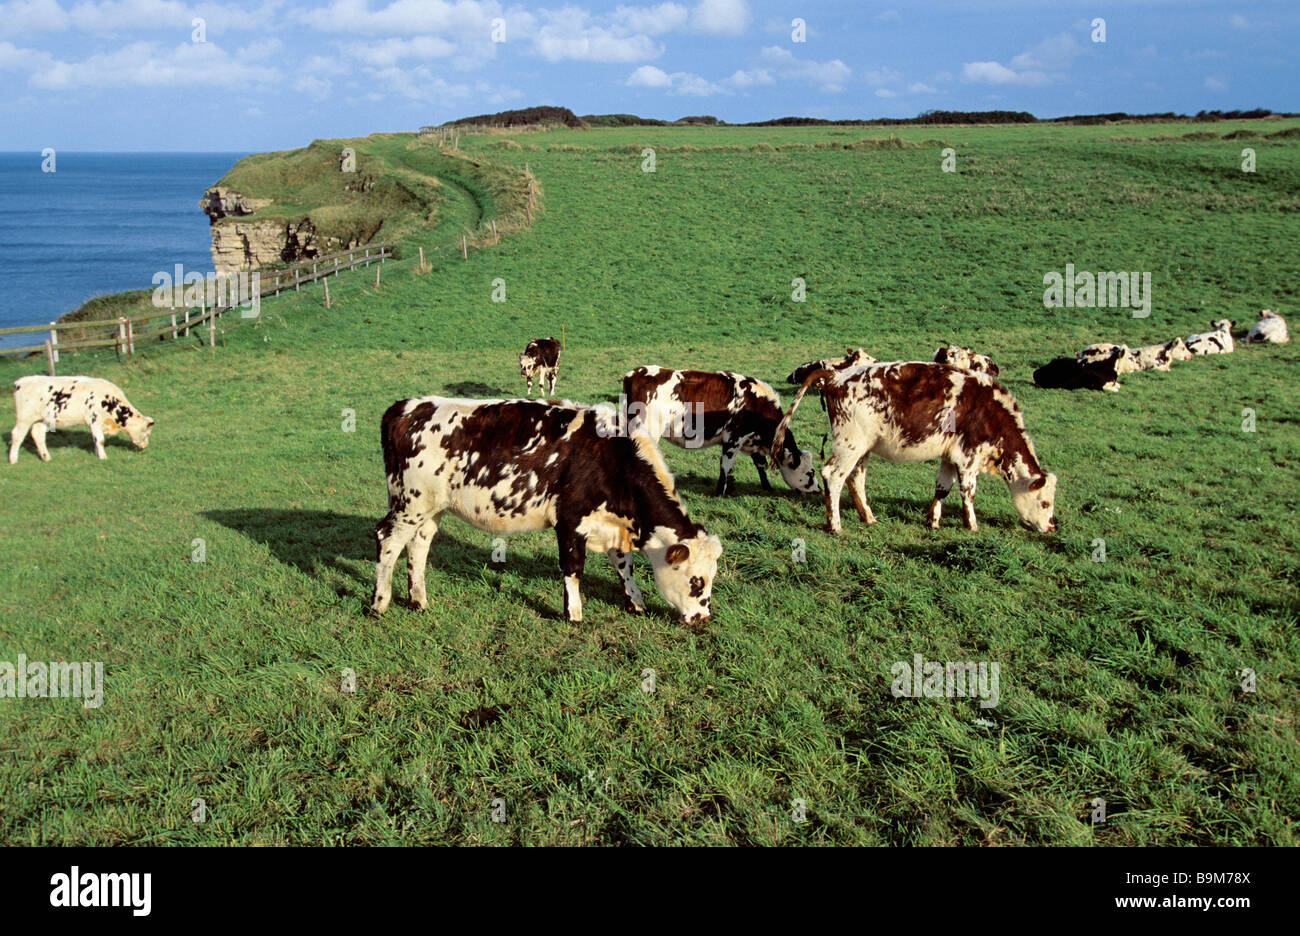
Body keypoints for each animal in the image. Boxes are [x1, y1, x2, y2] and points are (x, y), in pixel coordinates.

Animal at [9, 376, 154, 464]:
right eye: (146, 432)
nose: (146, 446)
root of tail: (20, 382)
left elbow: (96, 440)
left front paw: (97, 453)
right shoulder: (94, 420)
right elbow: (100, 440)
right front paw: (103, 457)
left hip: (41, 419)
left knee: (38, 435)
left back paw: (47, 458)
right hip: (24, 418)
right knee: (17, 435)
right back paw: (13, 460)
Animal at [371, 396, 722, 625]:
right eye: (696, 581)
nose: (703, 618)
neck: (612, 458)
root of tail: (405, 407)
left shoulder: (613, 525)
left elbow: (624, 566)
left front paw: (635, 602)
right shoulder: (570, 521)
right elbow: (573, 568)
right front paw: (573, 614)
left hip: (430, 508)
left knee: (418, 545)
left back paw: (418, 600)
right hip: (410, 503)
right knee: (387, 540)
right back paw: (379, 604)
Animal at [621, 366, 818, 496]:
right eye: (810, 472)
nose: (818, 489)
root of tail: (634, 374)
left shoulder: (752, 440)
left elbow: (760, 464)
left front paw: (767, 486)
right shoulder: (733, 439)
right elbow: (726, 465)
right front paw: (719, 492)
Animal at [774, 362, 1057, 534]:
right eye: (1044, 502)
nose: (1052, 526)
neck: (990, 409)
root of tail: (837, 376)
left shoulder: (949, 455)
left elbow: (943, 487)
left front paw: (933, 521)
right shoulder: (968, 457)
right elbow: (968, 492)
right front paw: (972, 526)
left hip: (862, 448)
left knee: (856, 478)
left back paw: (868, 517)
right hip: (849, 445)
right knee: (834, 476)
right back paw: (835, 525)